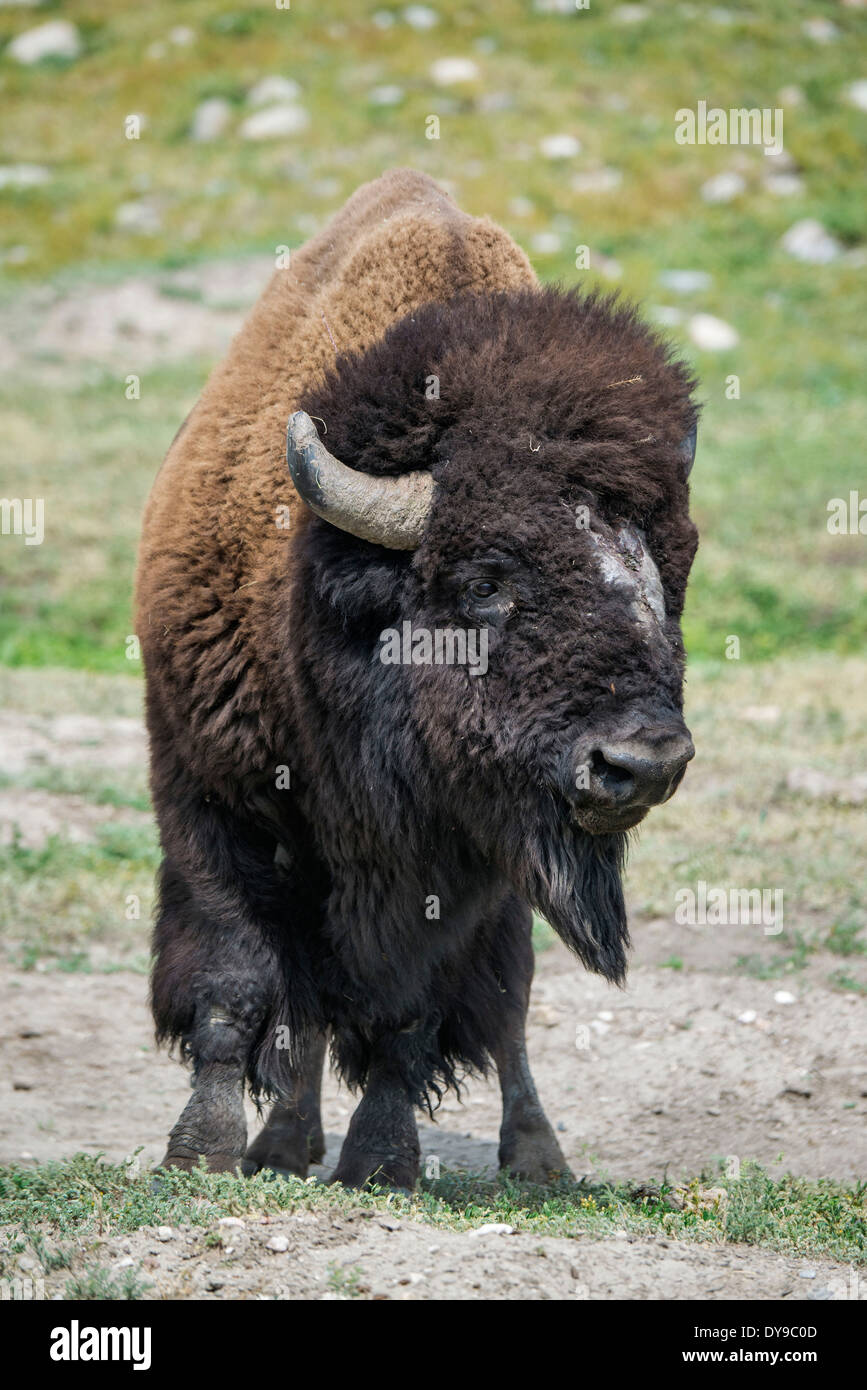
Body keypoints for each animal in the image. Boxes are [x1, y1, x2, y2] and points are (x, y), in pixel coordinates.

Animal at [135, 169, 698, 1188]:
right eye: (485, 581)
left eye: (668, 579)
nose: (641, 764)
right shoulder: (206, 795)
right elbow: (237, 981)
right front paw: (202, 1150)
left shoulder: (463, 868)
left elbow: (409, 1016)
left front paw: (381, 1162)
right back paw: (283, 1145)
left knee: (505, 1016)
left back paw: (537, 1159)